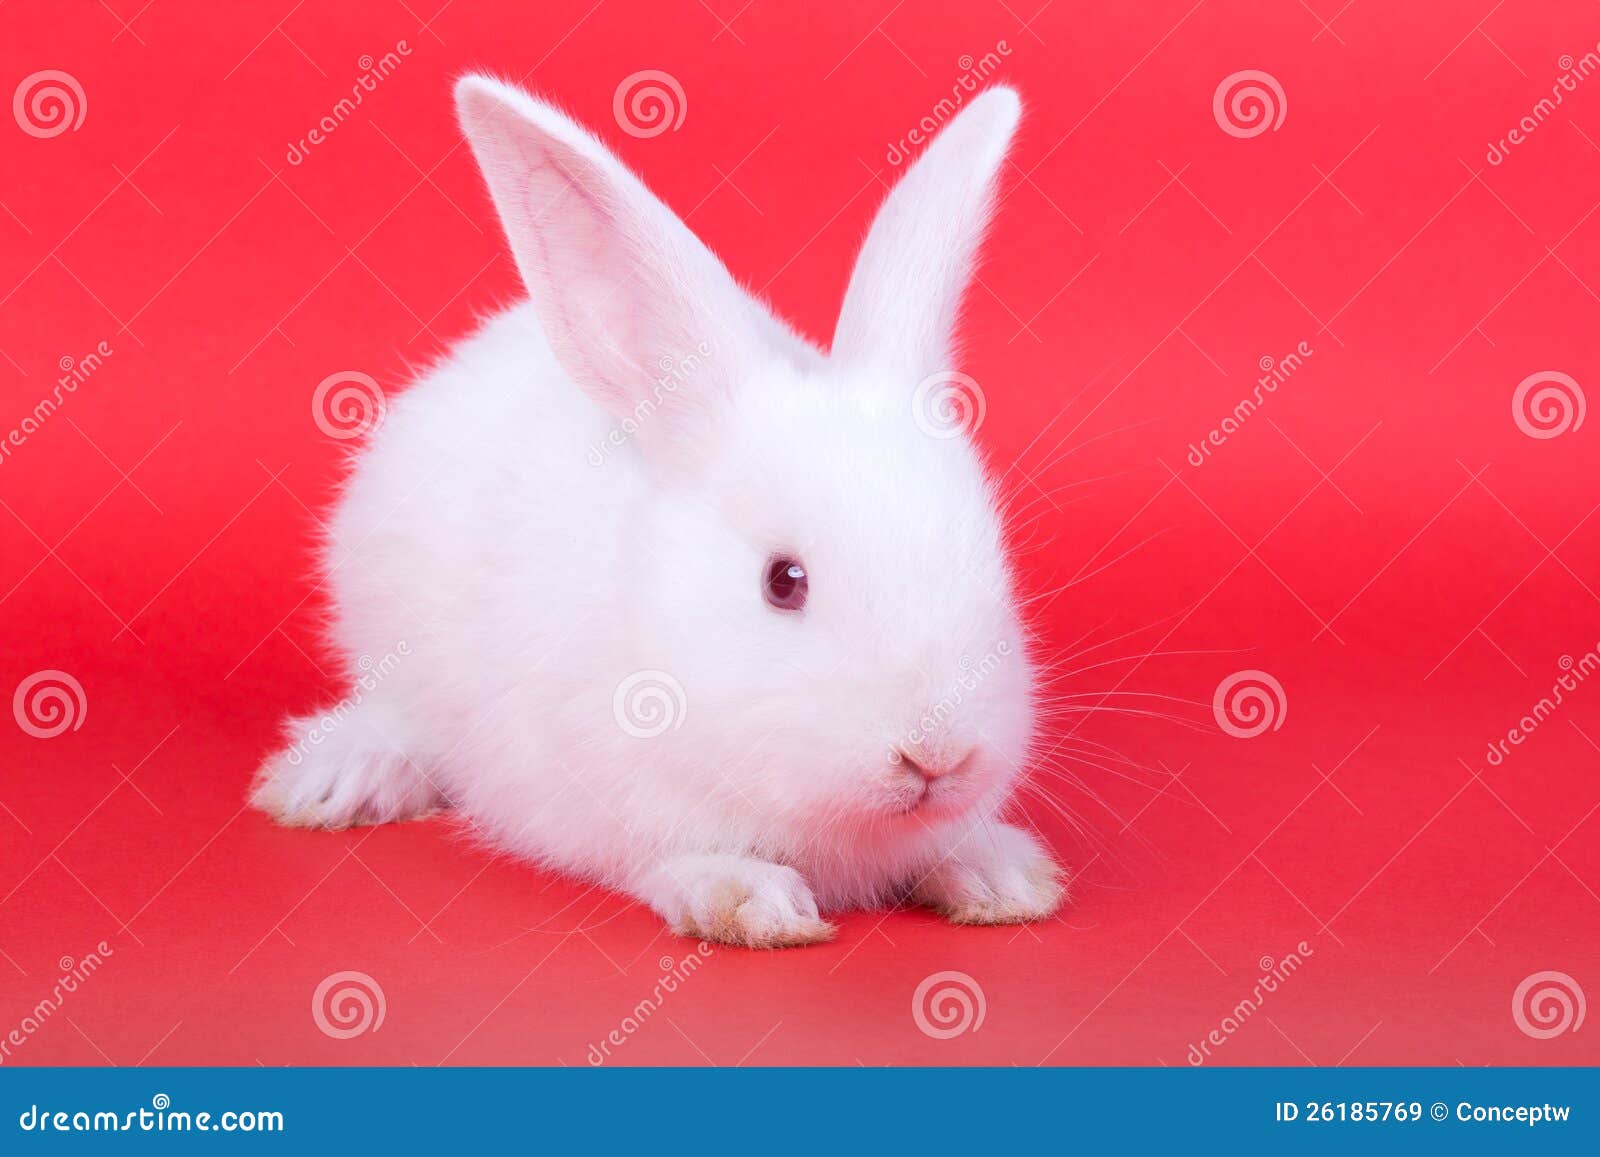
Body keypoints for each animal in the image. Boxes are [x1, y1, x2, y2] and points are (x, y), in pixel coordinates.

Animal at [249, 74, 1065, 948]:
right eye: (784, 581)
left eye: (992, 566)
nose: (937, 754)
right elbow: (673, 858)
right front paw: (756, 901)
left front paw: (1003, 877)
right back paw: (336, 780)